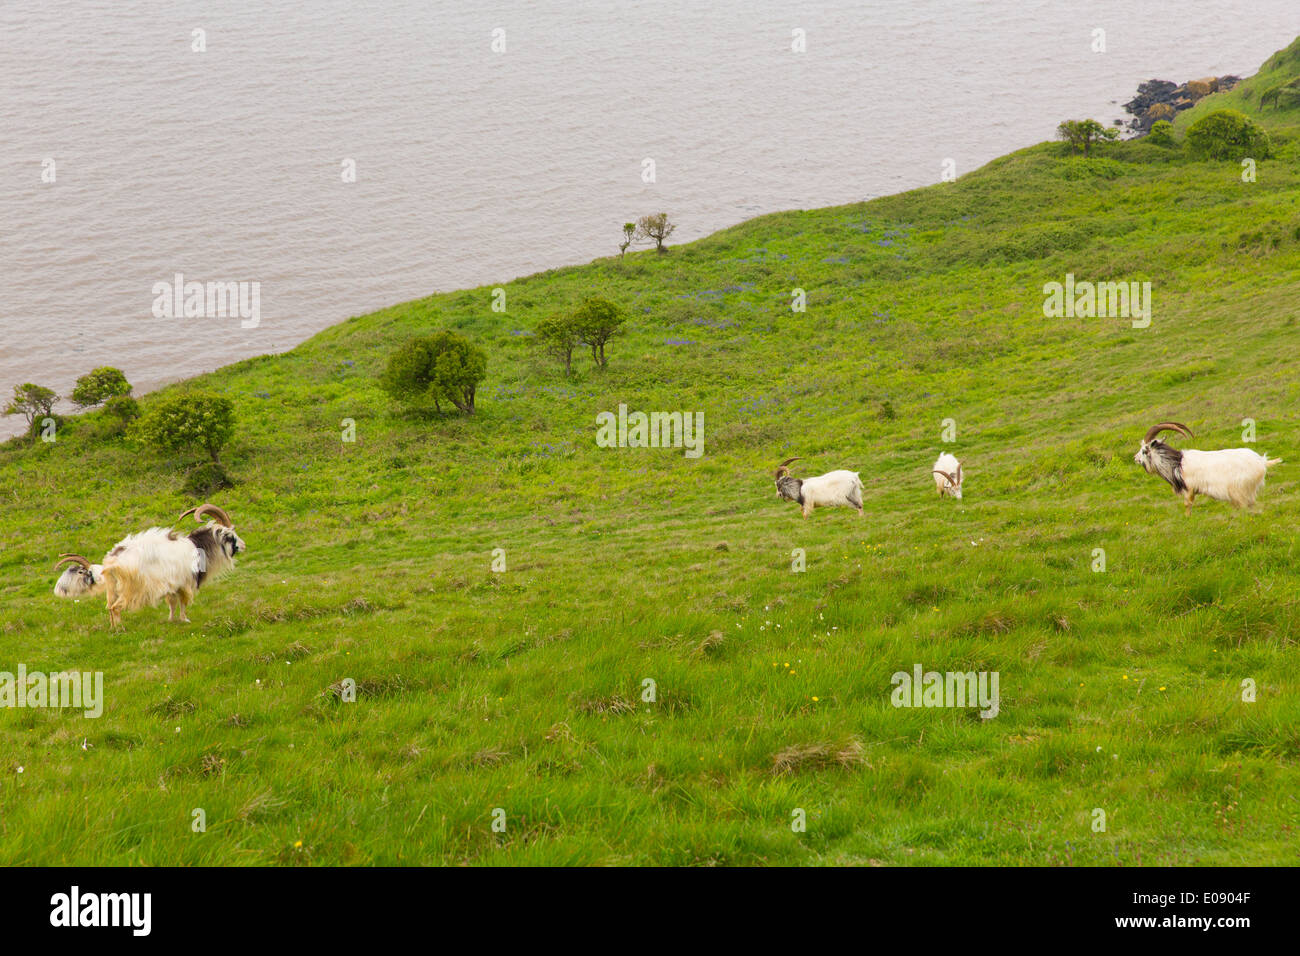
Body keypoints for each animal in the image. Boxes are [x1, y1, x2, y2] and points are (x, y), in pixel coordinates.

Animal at [52, 503, 245, 627]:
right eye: (231, 535)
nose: (243, 545)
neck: (196, 548)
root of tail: (111, 561)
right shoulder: (184, 583)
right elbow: (182, 603)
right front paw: (184, 620)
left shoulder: (171, 585)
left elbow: (172, 603)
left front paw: (171, 620)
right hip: (130, 589)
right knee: (116, 608)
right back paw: (121, 630)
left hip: (112, 588)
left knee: (109, 608)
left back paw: (113, 628)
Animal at [1134, 422, 1281, 514]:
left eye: (1144, 451)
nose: (1135, 458)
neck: (1177, 463)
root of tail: (1261, 462)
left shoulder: (1189, 488)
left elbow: (1187, 505)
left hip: (1240, 490)